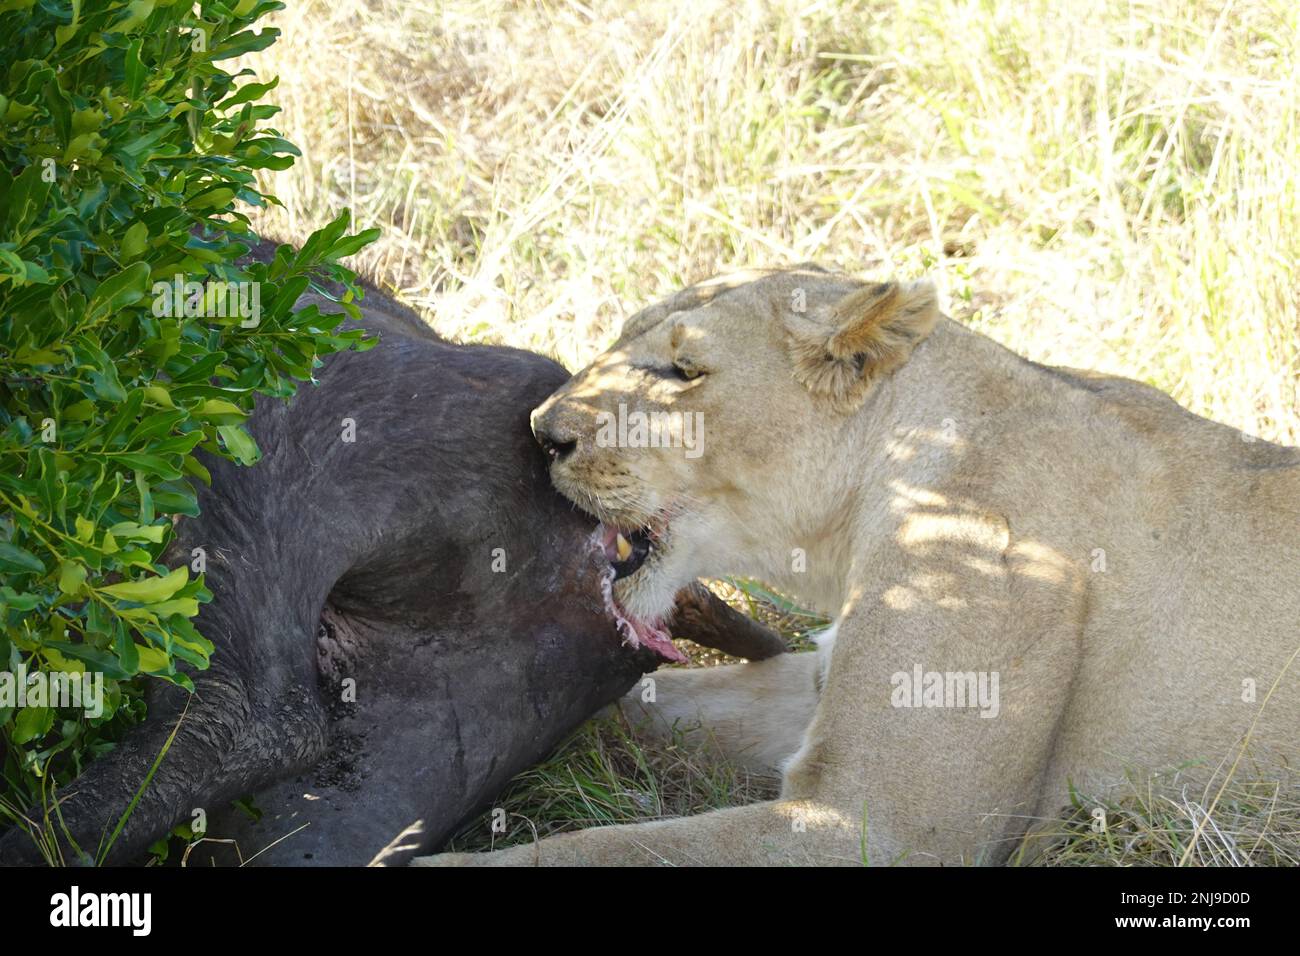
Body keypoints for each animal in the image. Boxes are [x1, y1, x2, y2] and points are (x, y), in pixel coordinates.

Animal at [415, 265, 1300, 866]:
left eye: (683, 370)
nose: (541, 432)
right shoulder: (811, 688)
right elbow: (639, 704)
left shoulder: (883, 825)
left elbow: (602, 851)